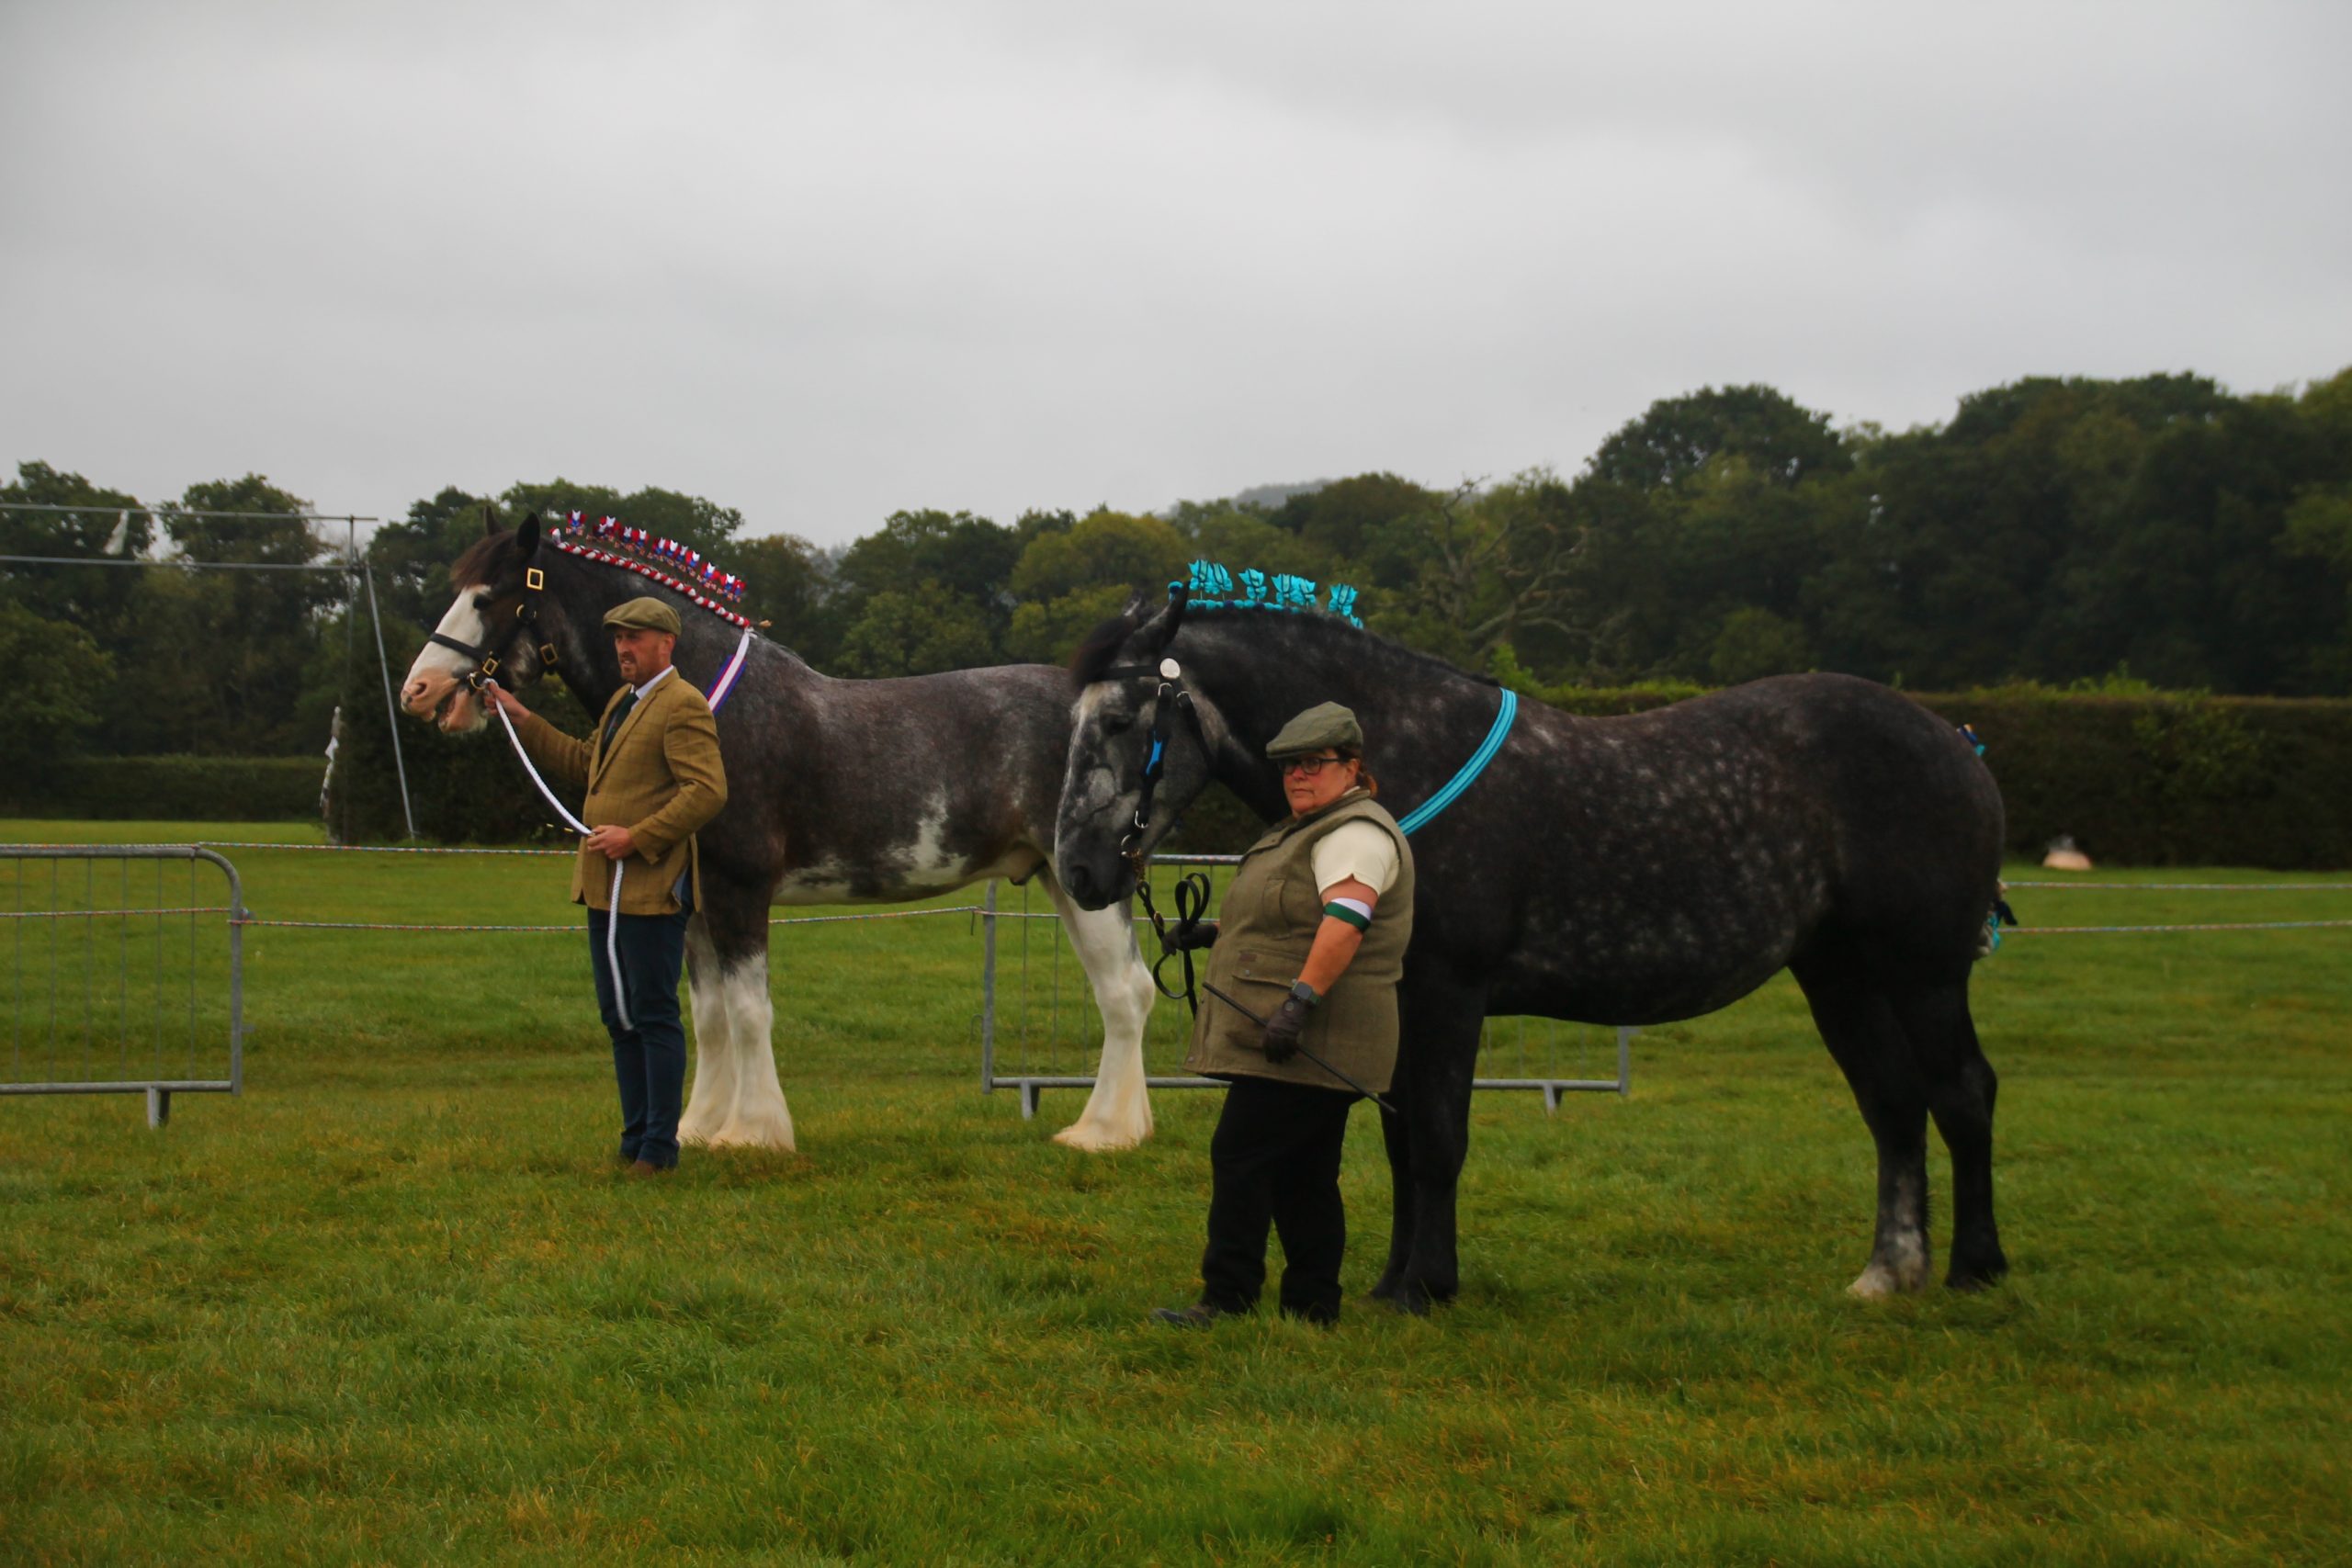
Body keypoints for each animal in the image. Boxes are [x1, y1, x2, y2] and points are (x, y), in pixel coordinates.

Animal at [397, 512, 1159, 1153]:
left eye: (489, 597)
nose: (418, 692)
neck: (710, 705)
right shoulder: (693, 899)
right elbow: (708, 1016)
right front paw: (698, 1125)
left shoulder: (739, 887)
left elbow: (748, 1009)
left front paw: (753, 1132)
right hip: (1066, 879)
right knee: (1124, 988)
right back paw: (1120, 1124)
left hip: (1081, 879)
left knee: (1125, 992)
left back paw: (1103, 1132)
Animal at [1052, 586, 2010, 1311]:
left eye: (1122, 721)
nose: (1079, 867)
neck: (1402, 760)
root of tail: (1956, 742)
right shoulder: (1399, 1000)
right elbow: (1401, 1144)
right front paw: (1392, 1281)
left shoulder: (1450, 993)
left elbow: (1439, 1138)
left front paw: (1426, 1286)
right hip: (1840, 974)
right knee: (1893, 1105)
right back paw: (1889, 1271)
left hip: (1923, 972)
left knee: (1962, 1092)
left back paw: (1975, 1268)